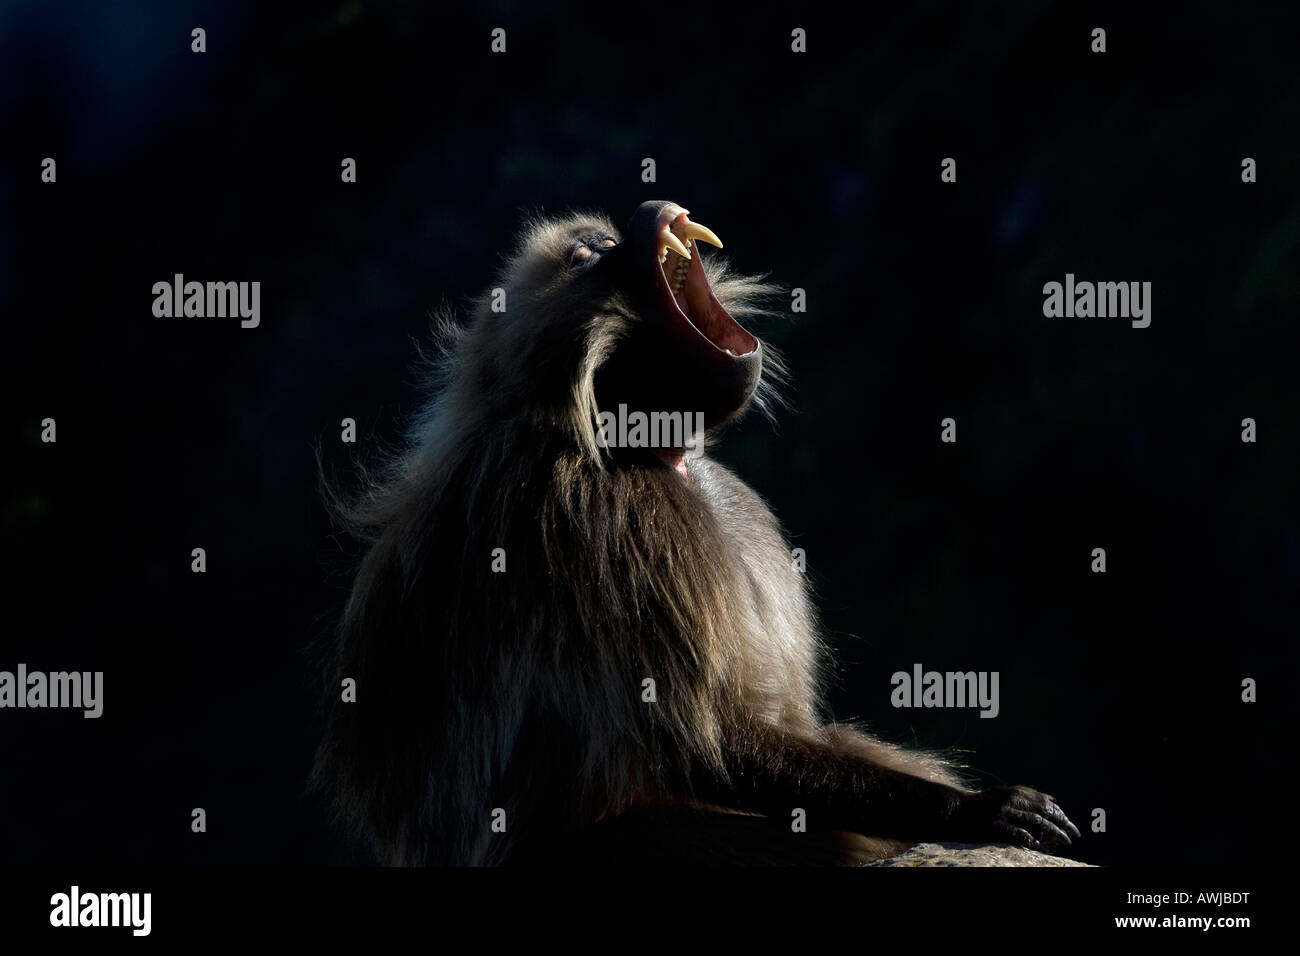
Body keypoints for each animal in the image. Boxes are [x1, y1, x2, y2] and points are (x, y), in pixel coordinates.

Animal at [313, 200, 1080, 866]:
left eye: (599, 237)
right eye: (587, 255)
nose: (640, 215)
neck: (635, 443)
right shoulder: (603, 515)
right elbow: (710, 748)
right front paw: (977, 810)